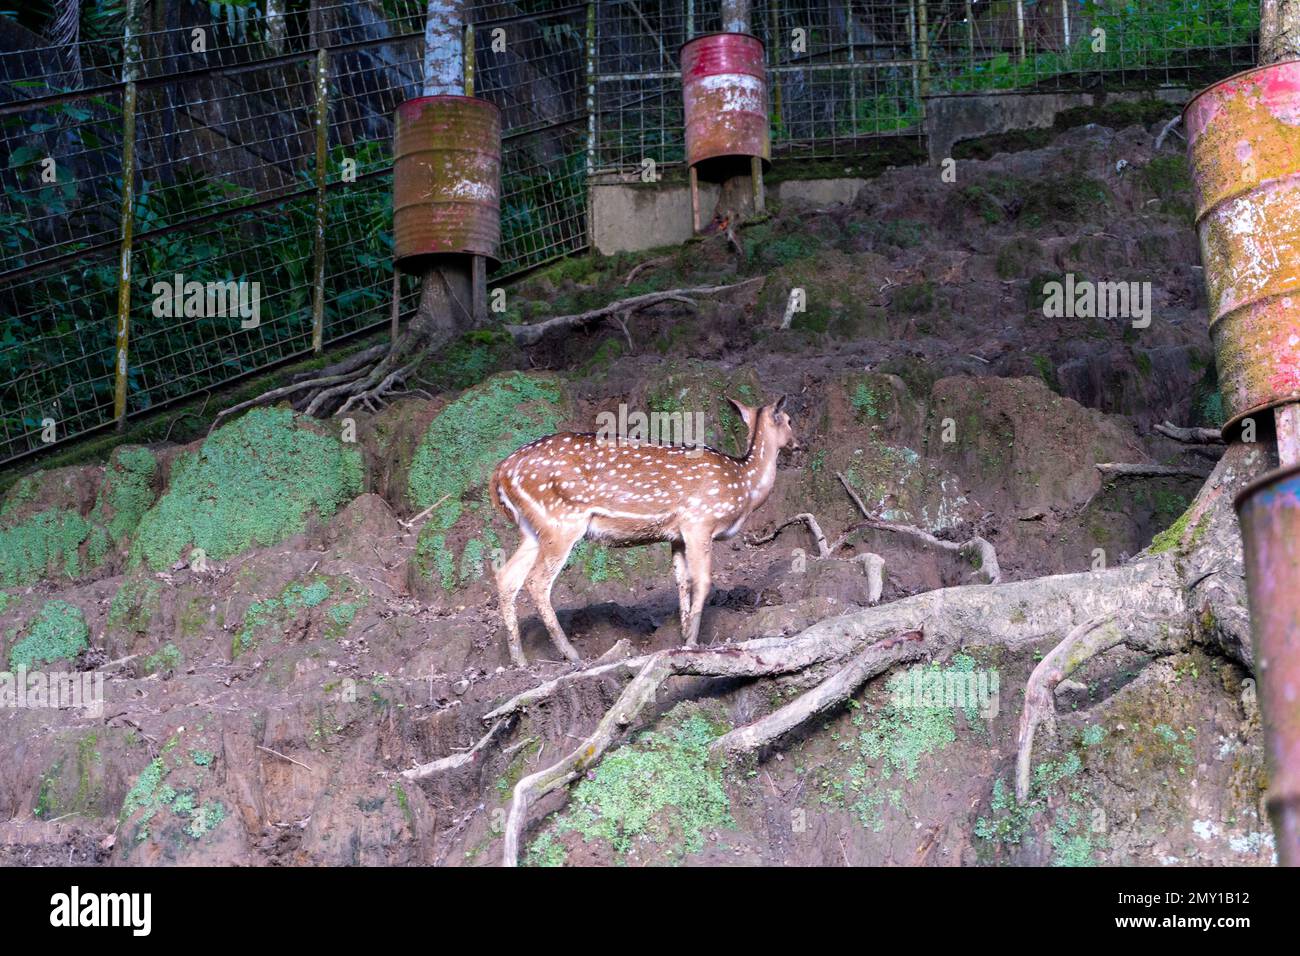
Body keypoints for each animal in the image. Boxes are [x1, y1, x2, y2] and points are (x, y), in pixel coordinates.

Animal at [489, 396, 800, 667]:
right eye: (788, 419)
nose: (798, 445)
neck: (744, 484)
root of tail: (500, 472)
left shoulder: (677, 535)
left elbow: (682, 581)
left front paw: (683, 633)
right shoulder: (699, 521)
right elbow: (702, 581)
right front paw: (693, 643)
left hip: (532, 528)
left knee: (506, 576)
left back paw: (519, 659)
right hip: (561, 521)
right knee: (537, 581)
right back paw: (571, 654)